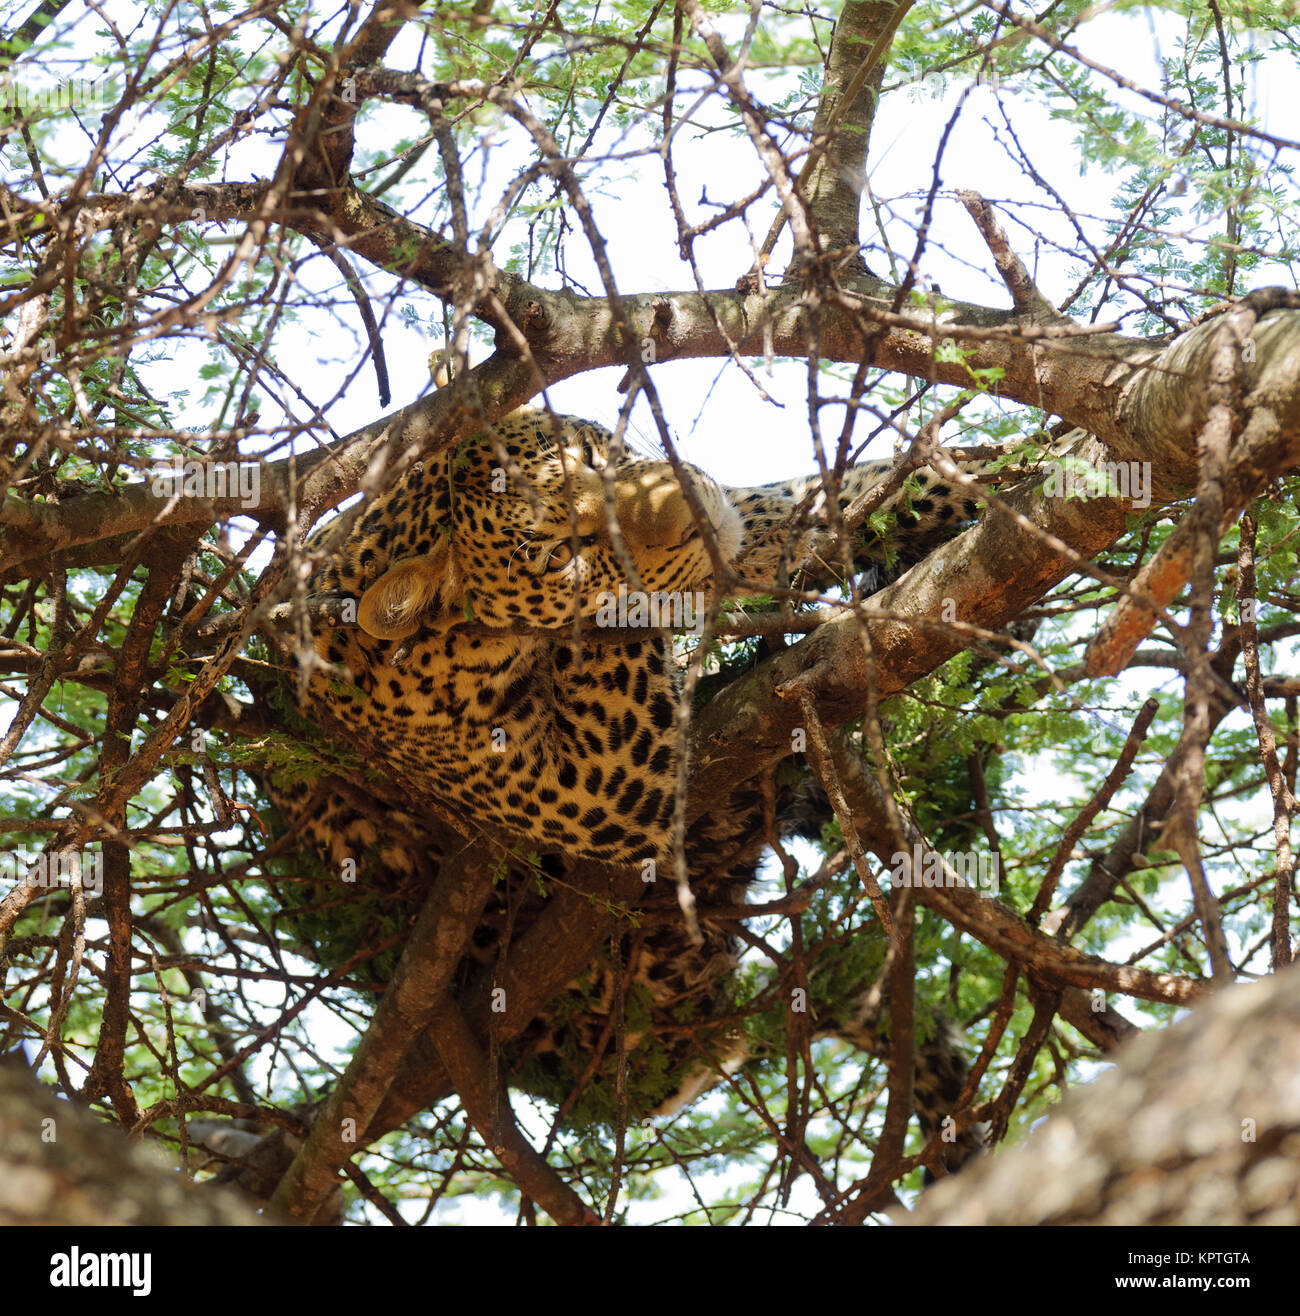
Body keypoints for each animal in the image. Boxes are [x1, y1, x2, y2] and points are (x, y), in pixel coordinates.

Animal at [260, 405, 1035, 1176]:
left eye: (589, 456)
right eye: (563, 552)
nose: (688, 506)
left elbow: (821, 503)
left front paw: (1004, 476)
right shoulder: (608, 782)